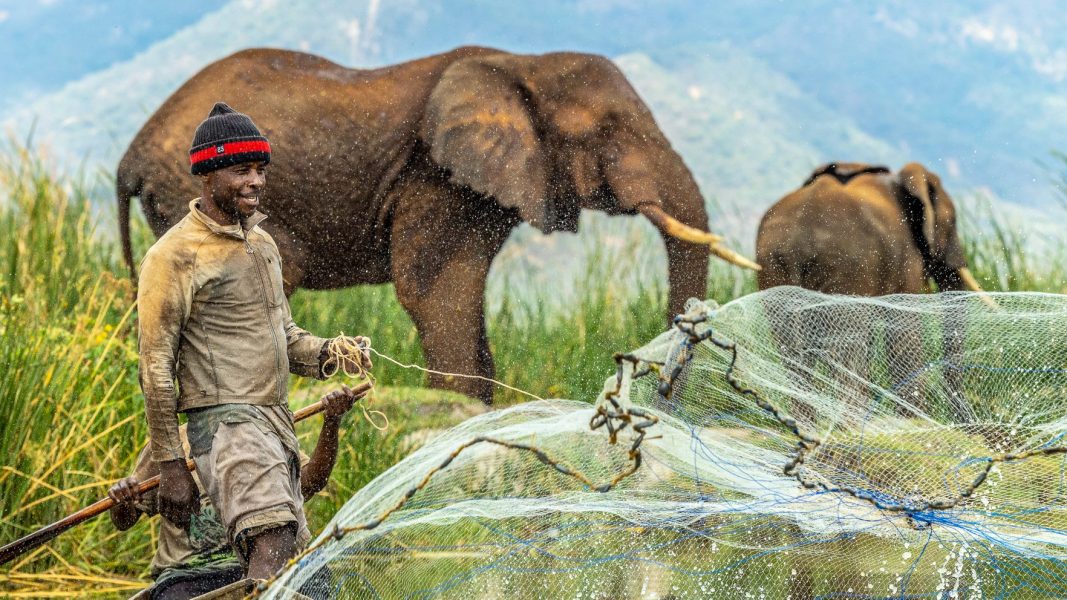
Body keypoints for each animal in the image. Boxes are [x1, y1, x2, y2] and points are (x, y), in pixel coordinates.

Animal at [117, 46, 759, 404]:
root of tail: (132, 155)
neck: (521, 63)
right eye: (607, 131)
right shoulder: (435, 176)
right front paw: (464, 409)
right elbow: (436, 291)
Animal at [754, 162, 988, 426]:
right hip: (845, 267)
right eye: (953, 222)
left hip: (774, 267)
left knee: (795, 355)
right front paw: (913, 426)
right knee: (846, 354)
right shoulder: (904, 260)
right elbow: (903, 337)